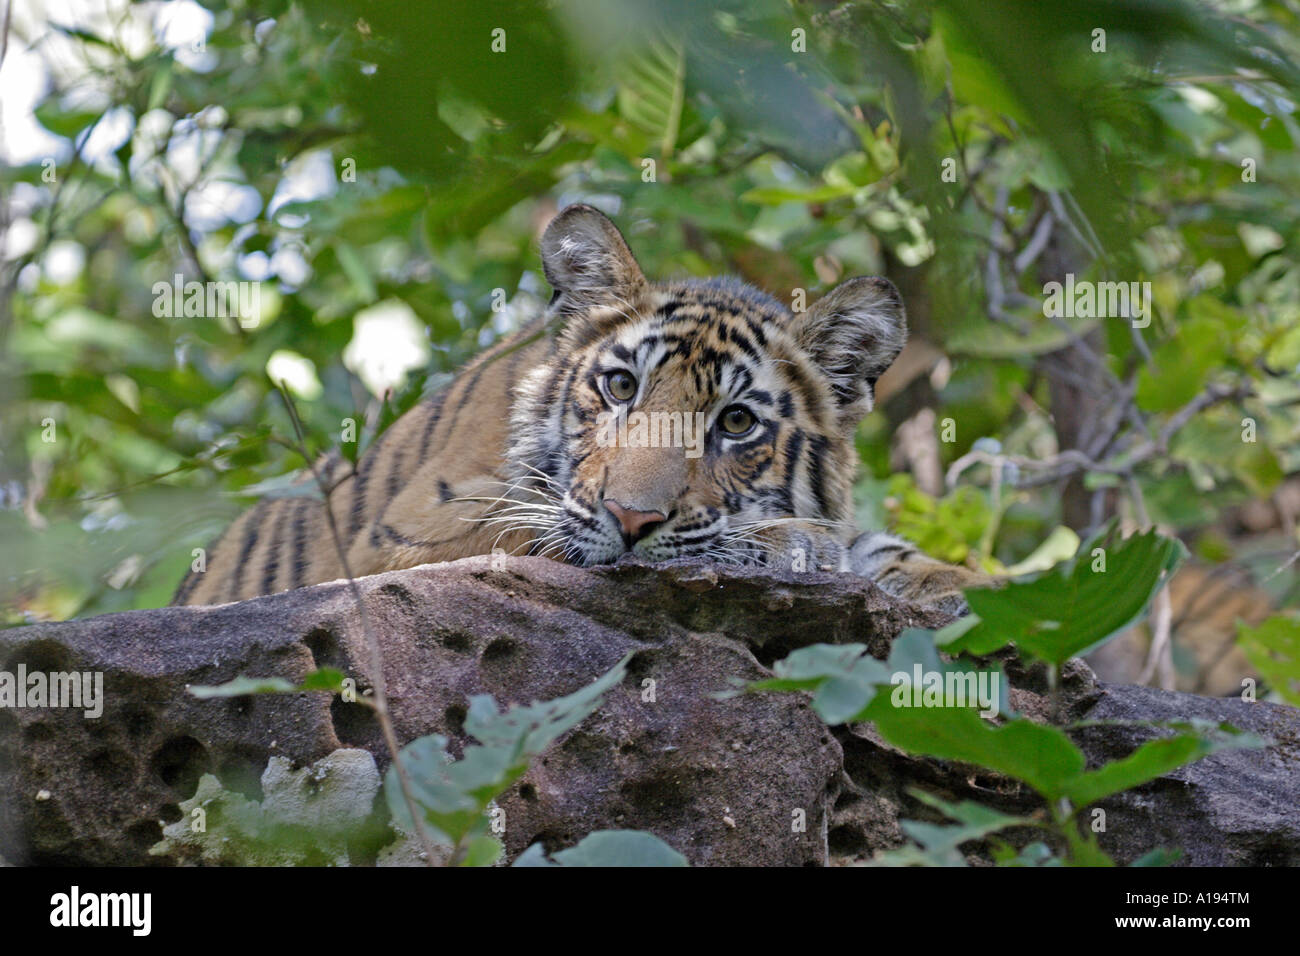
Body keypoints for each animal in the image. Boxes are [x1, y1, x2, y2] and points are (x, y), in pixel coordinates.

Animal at [172, 203, 986, 613]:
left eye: (735, 422)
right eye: (621, 387)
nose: (633, 520)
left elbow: (888, 550)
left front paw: (968, 584)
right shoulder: (405, 538)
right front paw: (790, 542)